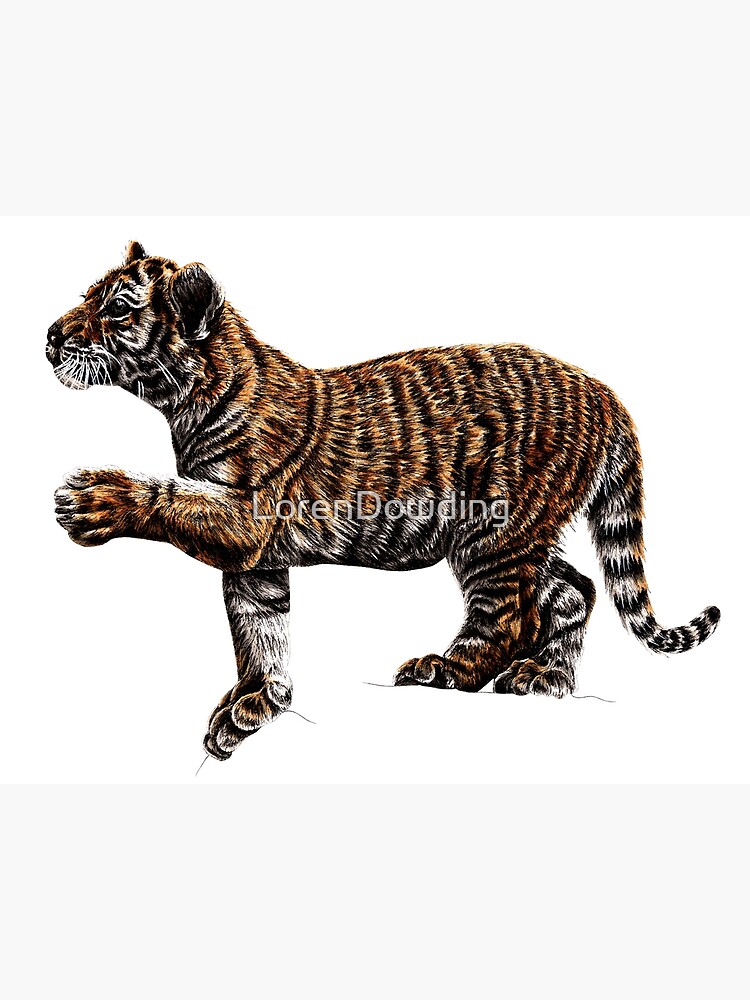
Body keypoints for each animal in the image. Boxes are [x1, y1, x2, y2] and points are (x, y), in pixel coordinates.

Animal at [48, 241, 721, 761]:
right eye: (89, 295)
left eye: (116, 310)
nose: (51, 335)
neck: (184, 401)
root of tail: (603, 391)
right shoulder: (257, 562)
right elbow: (260, 631)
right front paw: (256, 706)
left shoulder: (245, 514)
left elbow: (173, 502)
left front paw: (91, 497)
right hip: (526, 536)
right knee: (574, 588)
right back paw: (545, 678)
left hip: (493, 534)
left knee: (510, 616)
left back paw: (446, 670)